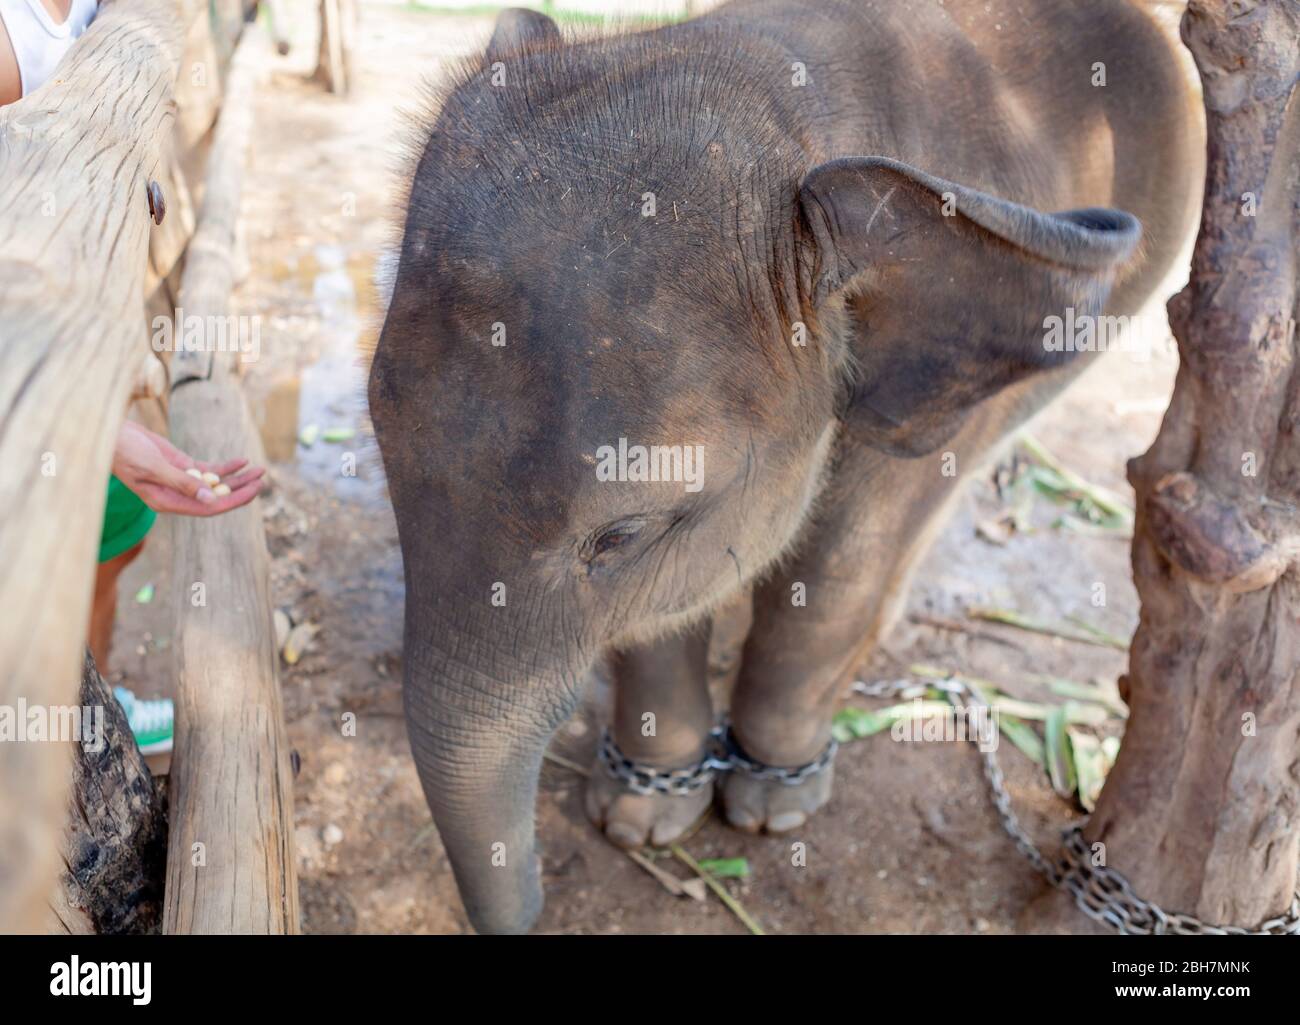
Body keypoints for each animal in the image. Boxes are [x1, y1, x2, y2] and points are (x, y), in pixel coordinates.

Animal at [368, 0, 1202, 934]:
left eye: (619, 534)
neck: (781, 98)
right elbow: (676, 601)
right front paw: (648, 814)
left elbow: (834, 570)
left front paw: (774, 806)